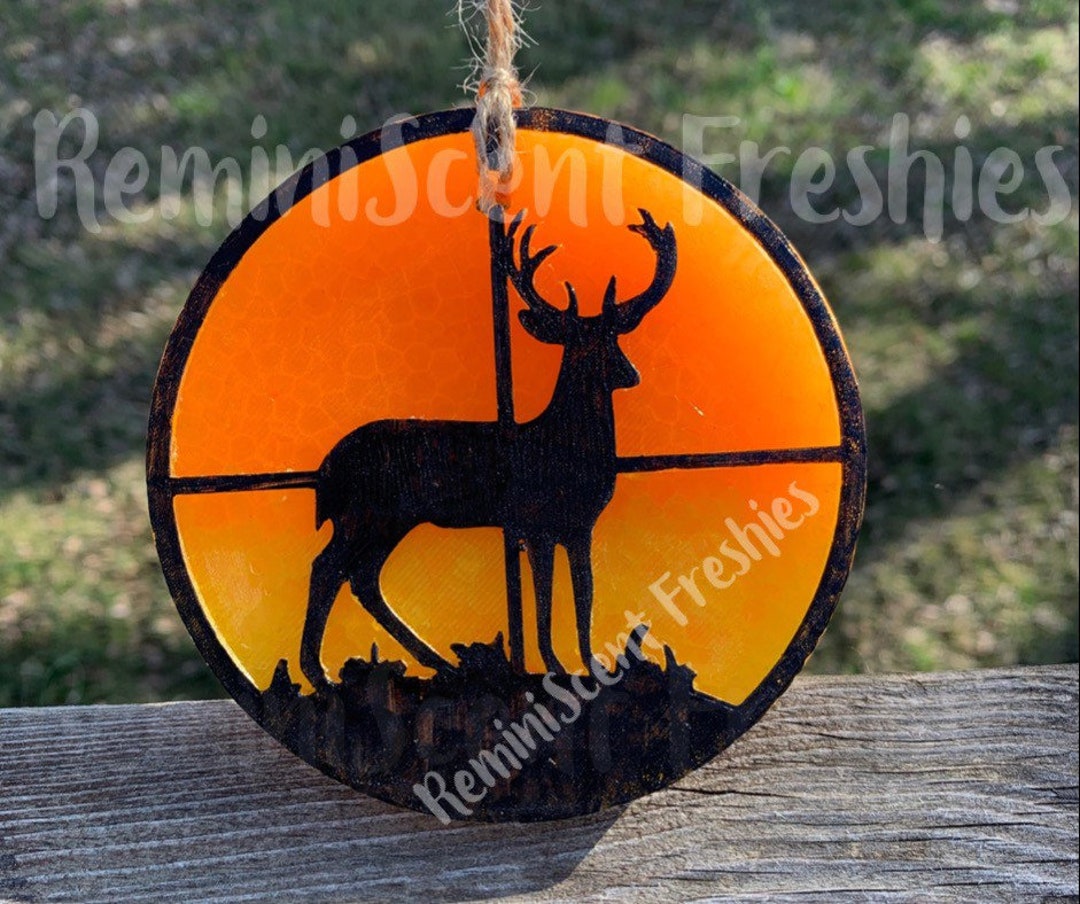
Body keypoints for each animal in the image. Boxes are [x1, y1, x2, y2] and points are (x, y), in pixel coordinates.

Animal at [300, 208, 676, 689]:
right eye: (580, 346)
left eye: (613, 338)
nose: (631, 374)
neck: (563, 444)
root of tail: (328, 468)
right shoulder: (536, 521)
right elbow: (546, 596)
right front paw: (555, 665)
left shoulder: (578, 524)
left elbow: (584, 592)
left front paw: (590, 665)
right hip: (368, 511)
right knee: (327, 568)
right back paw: (319, 674)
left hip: (386, 519)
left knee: (363, 578)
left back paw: (438, 663)